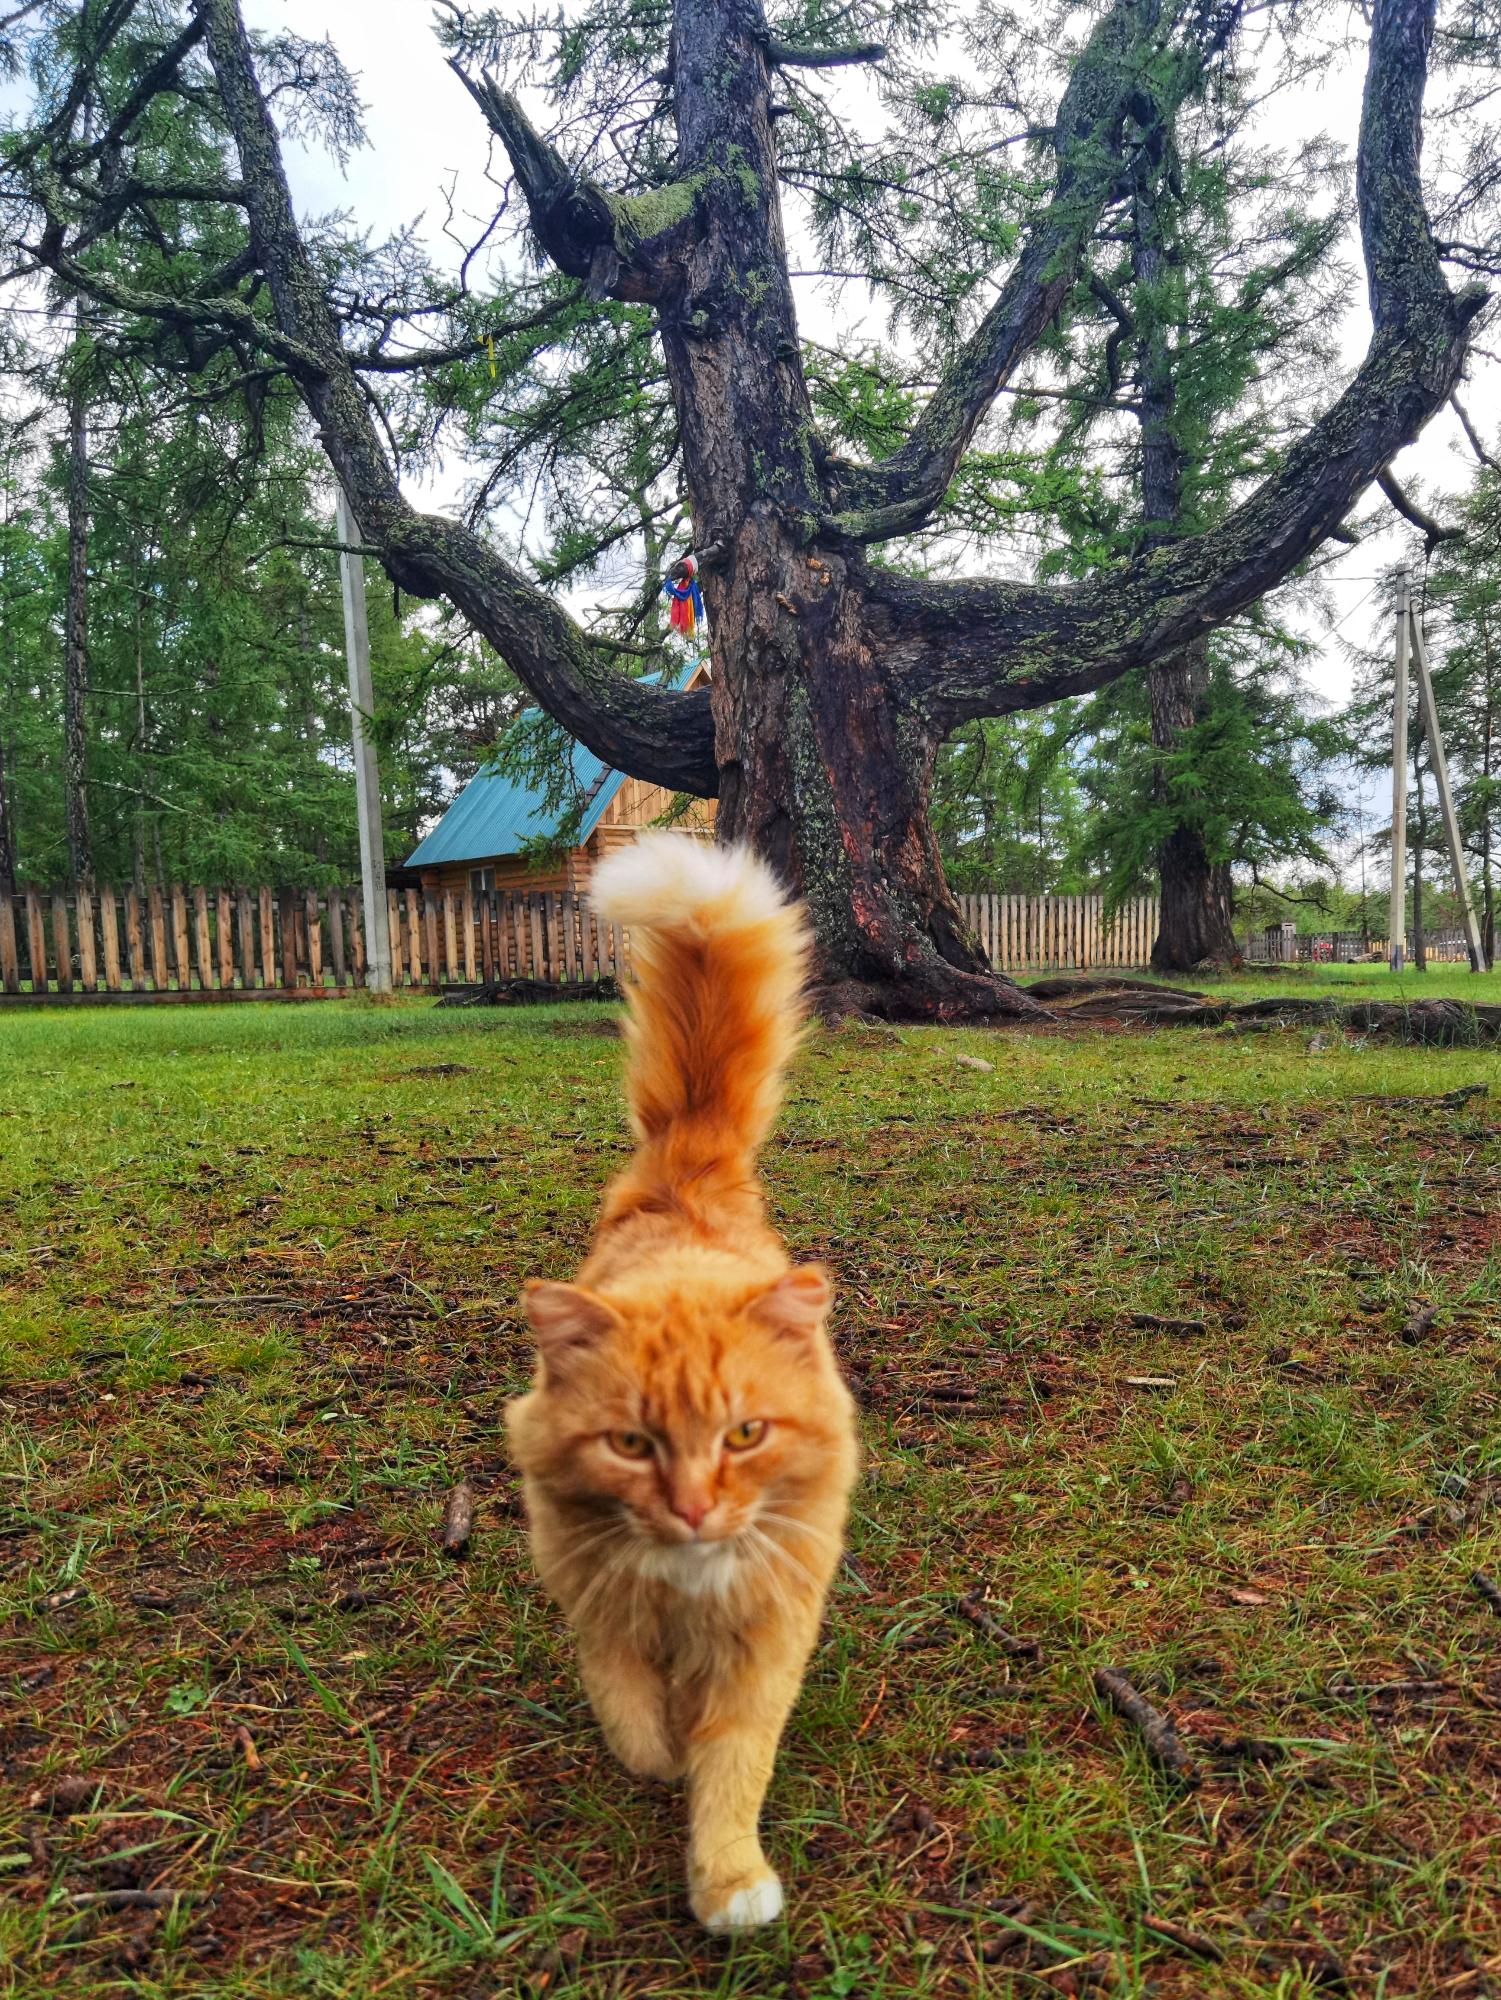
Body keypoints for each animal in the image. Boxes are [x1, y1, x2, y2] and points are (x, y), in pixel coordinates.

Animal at [508, 836, 852, 1928]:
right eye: (631, 1443)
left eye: (744, 1434)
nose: (696, 1509)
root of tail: (689, 1169)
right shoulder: (595, 1599)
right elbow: (629, 1709)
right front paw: (657, 1755)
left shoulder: (768, 1635)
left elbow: (733, 1762)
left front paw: (727, 1876)